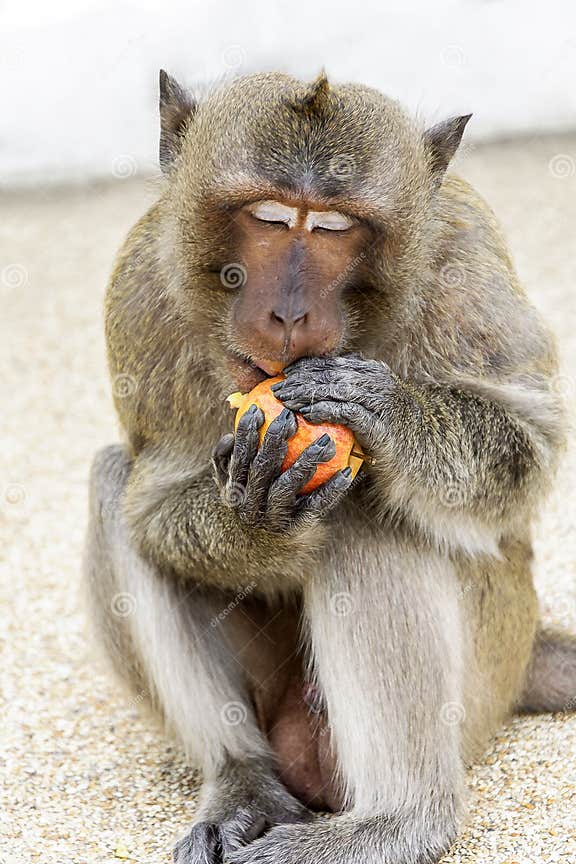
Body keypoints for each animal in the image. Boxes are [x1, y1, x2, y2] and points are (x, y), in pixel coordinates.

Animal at [84, 68, 576, 864]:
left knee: (368, 515)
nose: (287, 313)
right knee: (111, 481)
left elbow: (527, 449)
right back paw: (242, 779)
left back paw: (399, 822)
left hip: (483, 676)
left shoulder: (466, 258)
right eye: (269, 217)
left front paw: (388, 413)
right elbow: (150, 503)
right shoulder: (141, 290)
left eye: (335, 229)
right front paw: (254, 519)